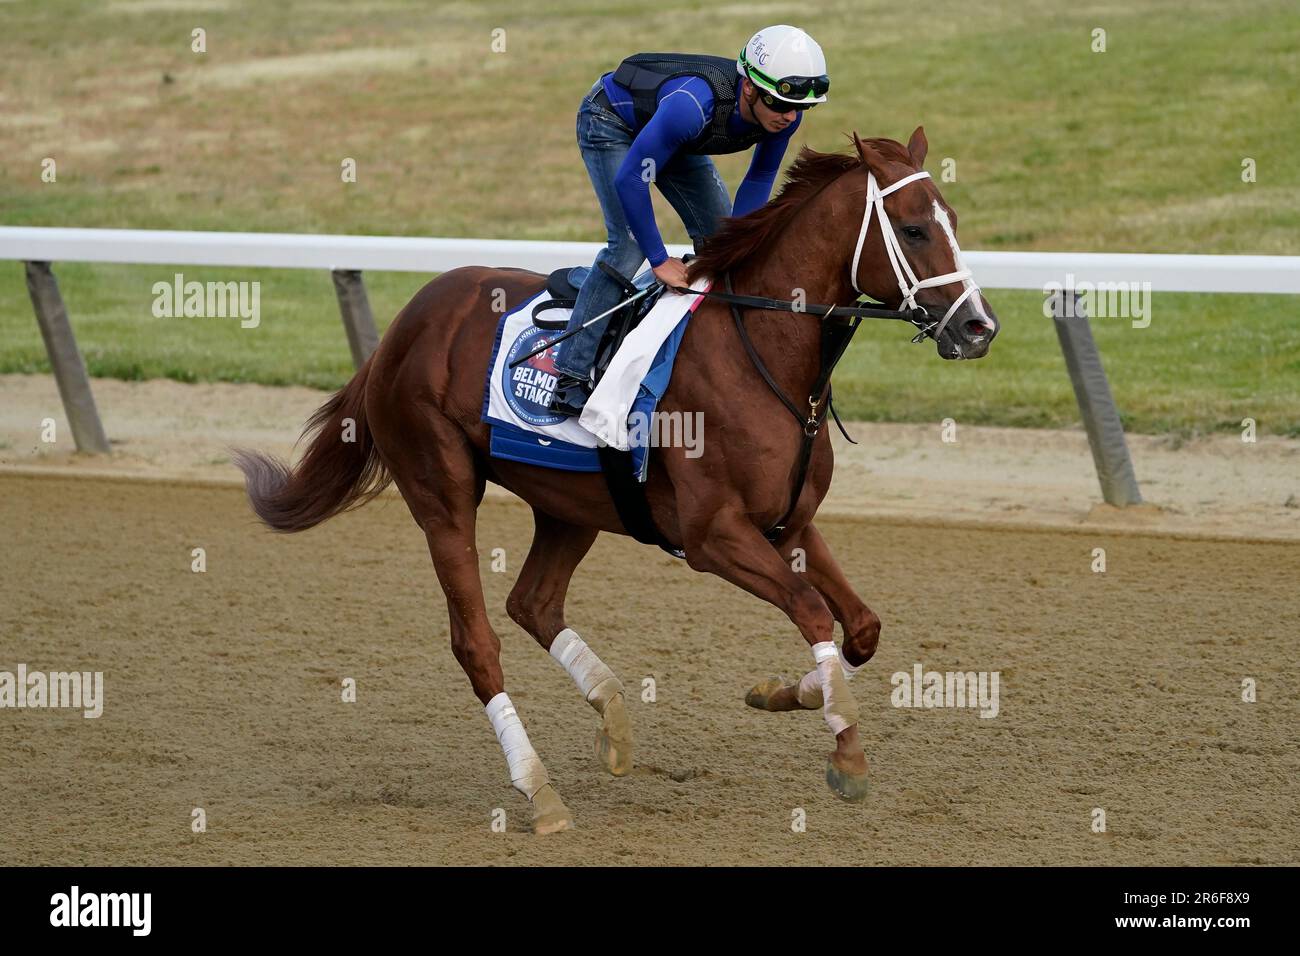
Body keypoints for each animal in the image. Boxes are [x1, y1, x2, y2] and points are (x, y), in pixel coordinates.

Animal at [234, 127, 999, 834]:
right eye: (914, 228)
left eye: (956, 220)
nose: (979, 327)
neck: (765, 355)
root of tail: (403, 325)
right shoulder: (712, 536)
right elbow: (813, 611)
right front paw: (846, 756)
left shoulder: (790, 521)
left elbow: (861, 629)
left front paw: (787, 693)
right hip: (442, 491)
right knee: (478, 641)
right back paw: (539, 791)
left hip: (571, 503)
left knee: (533, 604)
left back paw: (613, 719)